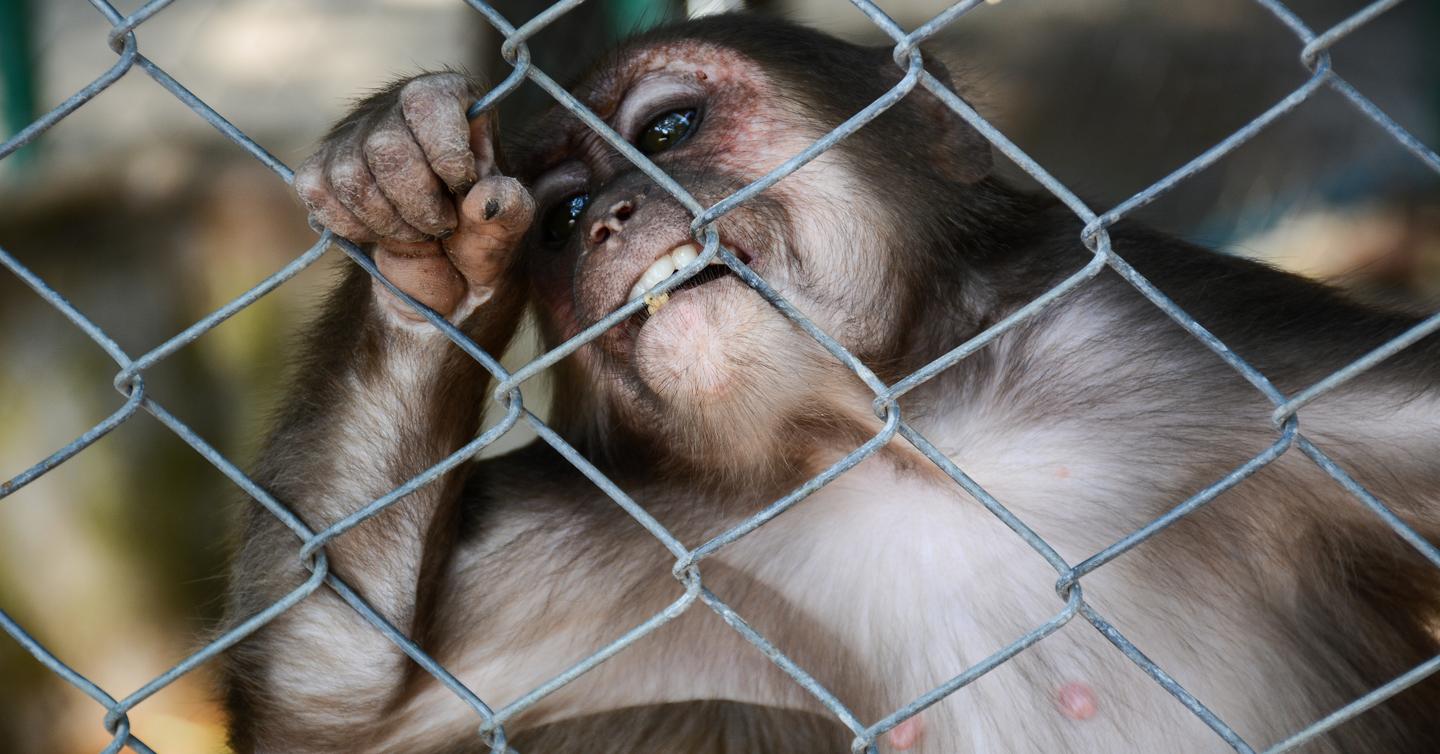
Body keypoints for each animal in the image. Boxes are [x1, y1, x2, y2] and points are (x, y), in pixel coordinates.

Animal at [221, 13, 1440, 754]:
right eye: (560, 221)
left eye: (671, 126)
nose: (610, 217)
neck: (882, 444)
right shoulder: (635, 525)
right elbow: (339, 701)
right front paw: (412, 237)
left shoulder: (1177, 347)